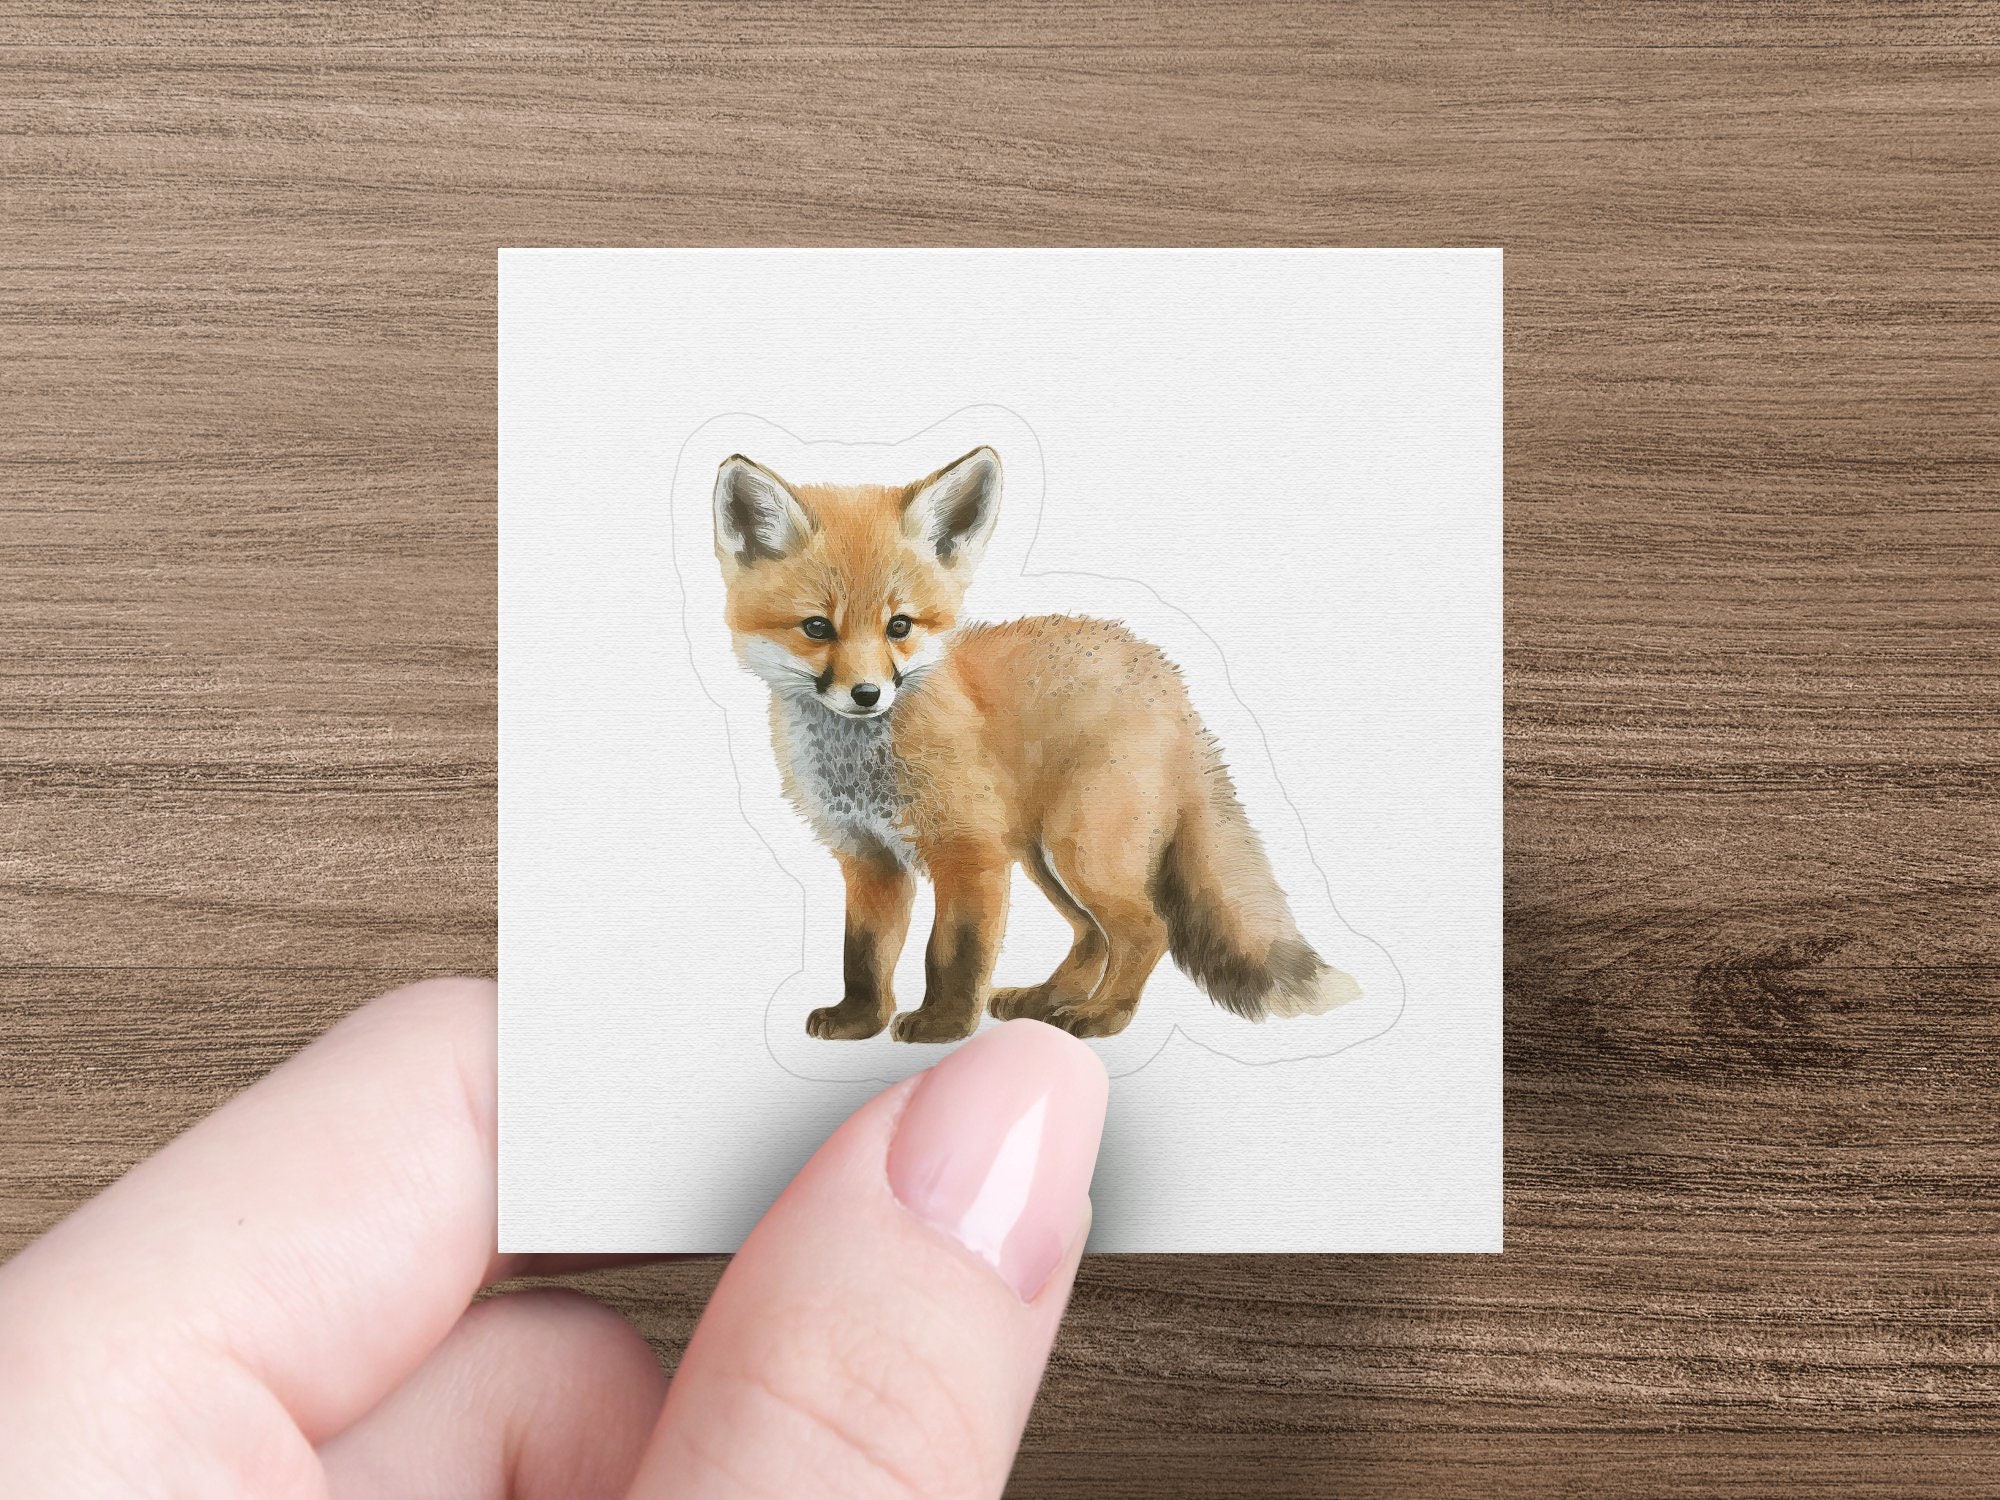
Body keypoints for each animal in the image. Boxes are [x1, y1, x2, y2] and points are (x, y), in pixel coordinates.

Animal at [713, 445, 1361, 1043]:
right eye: (817, 628)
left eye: (900, 626)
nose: (867, 694)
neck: (859, 762)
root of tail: (1168, 681)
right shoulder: (869, 858)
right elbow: (864, 954)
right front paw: (860, 1019)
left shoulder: (970, 854)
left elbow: (952, 953)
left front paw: (945, 1025)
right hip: (1044, 857)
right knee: (1092, 936)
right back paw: (1045, 1001)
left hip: (1082, 851)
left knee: (1147, 930)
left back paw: (1102, 1016)